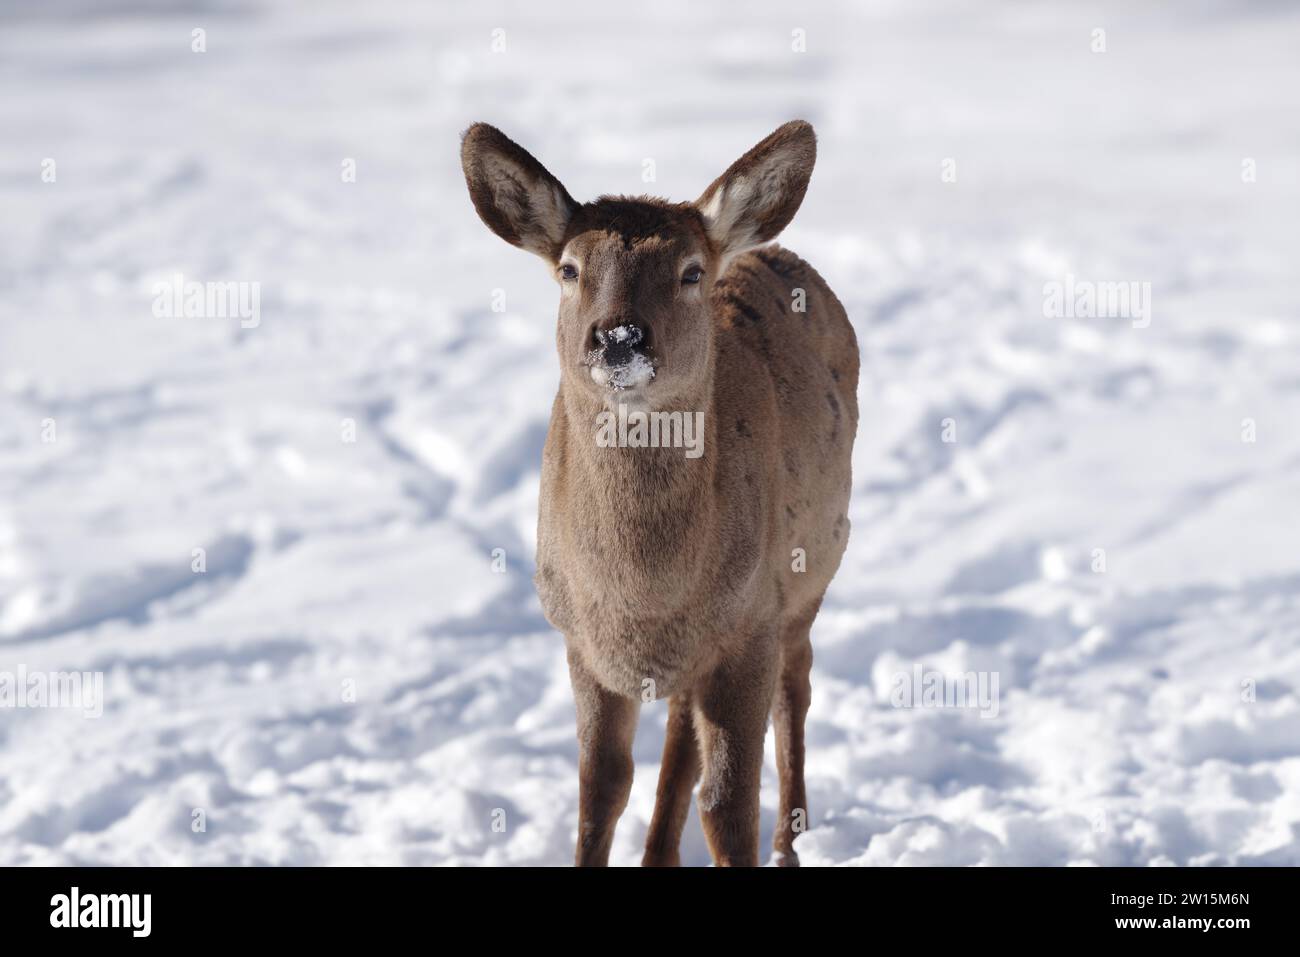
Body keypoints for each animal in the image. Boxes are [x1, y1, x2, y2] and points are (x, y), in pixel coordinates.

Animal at [460, 120, 858, 866]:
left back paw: (792, 844)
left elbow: (727, 804)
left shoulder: (751, 621)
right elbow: (602, 789)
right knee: (680, 730)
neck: (643, 599)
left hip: (813, 568)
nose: (619, 337)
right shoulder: (579, 637)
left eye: (690, 271)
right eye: (570, 268)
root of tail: (772, 249)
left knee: (795, 687)